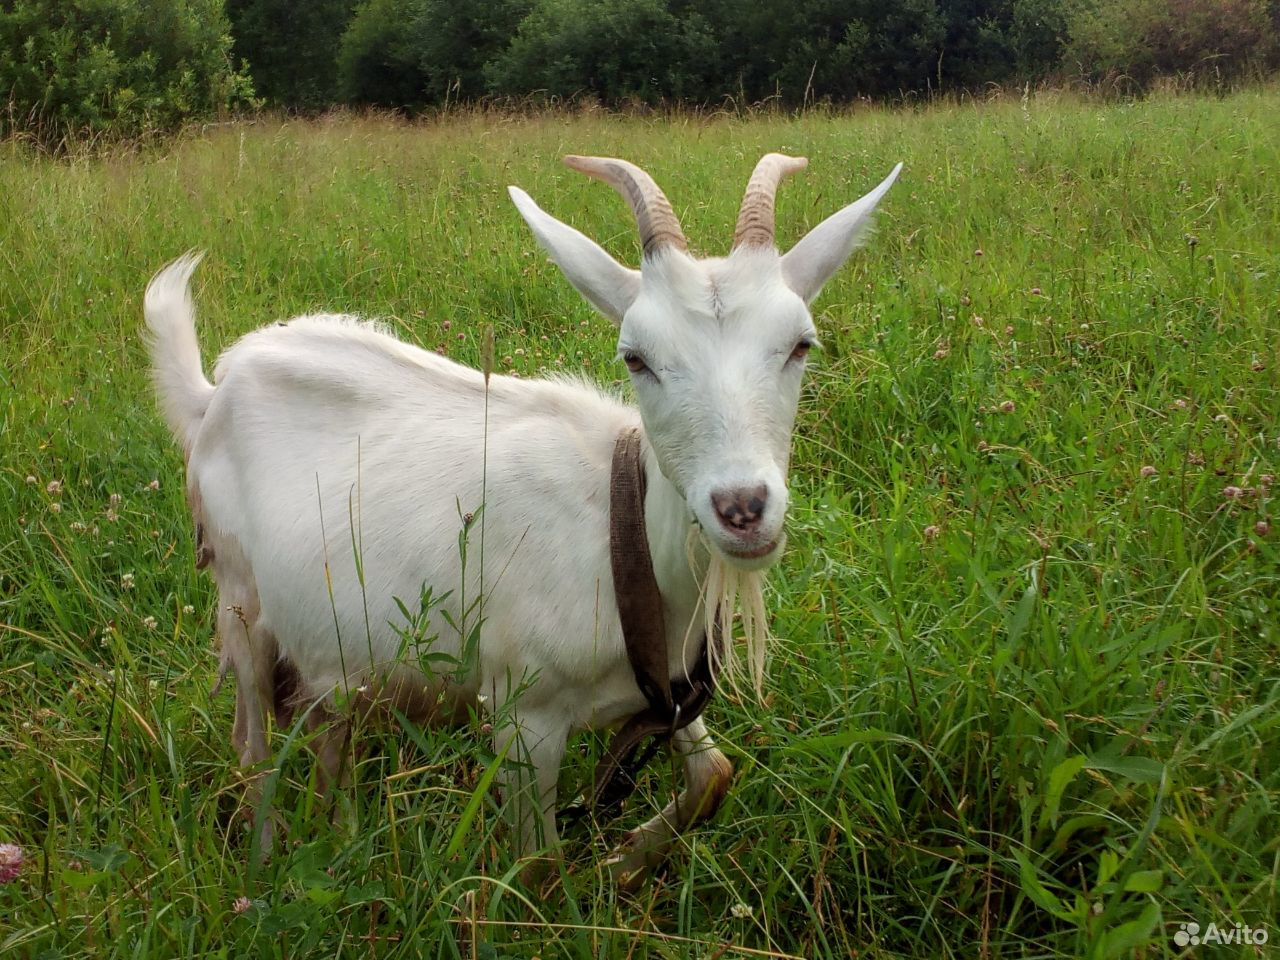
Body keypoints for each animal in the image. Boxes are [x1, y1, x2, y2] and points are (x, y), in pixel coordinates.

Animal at [143, 154, 901, 884]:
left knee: (330, 733)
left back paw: (339, 844)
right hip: (240, 602)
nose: (742, 507)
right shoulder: (523, 716)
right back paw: (264, 872)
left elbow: (714, 776)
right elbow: (538, 865)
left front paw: (625, 863)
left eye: (801, 344)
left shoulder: (667, 693)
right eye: (636, 358)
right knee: (252, 750)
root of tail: (214, 391)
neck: (618, 531)